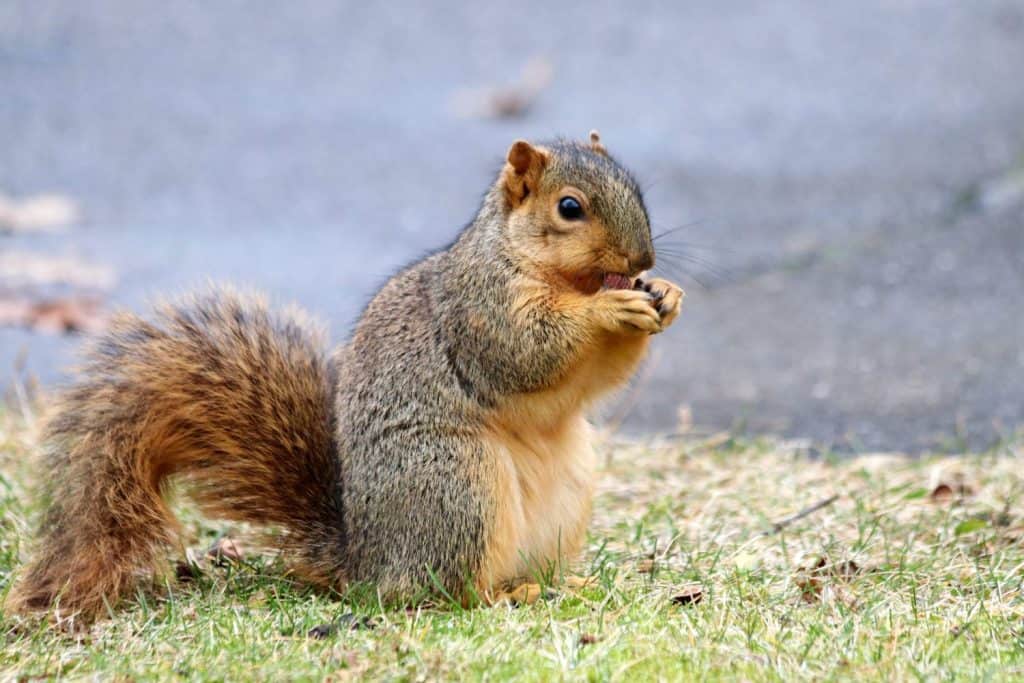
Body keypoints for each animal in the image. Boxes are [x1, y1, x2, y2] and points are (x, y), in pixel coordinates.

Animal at [8, 131, 684, 621]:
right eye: (570, 207)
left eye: (636, 188)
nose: (643, 259)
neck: (554, 274)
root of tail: (365, 560)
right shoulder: (479, 310)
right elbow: (529, 352)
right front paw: (608, 310)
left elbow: (593, 381)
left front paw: (667, 295)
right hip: (456, 484)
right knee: (441, 591)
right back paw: (502, 596)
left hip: (566, 488)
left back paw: (566, 582)